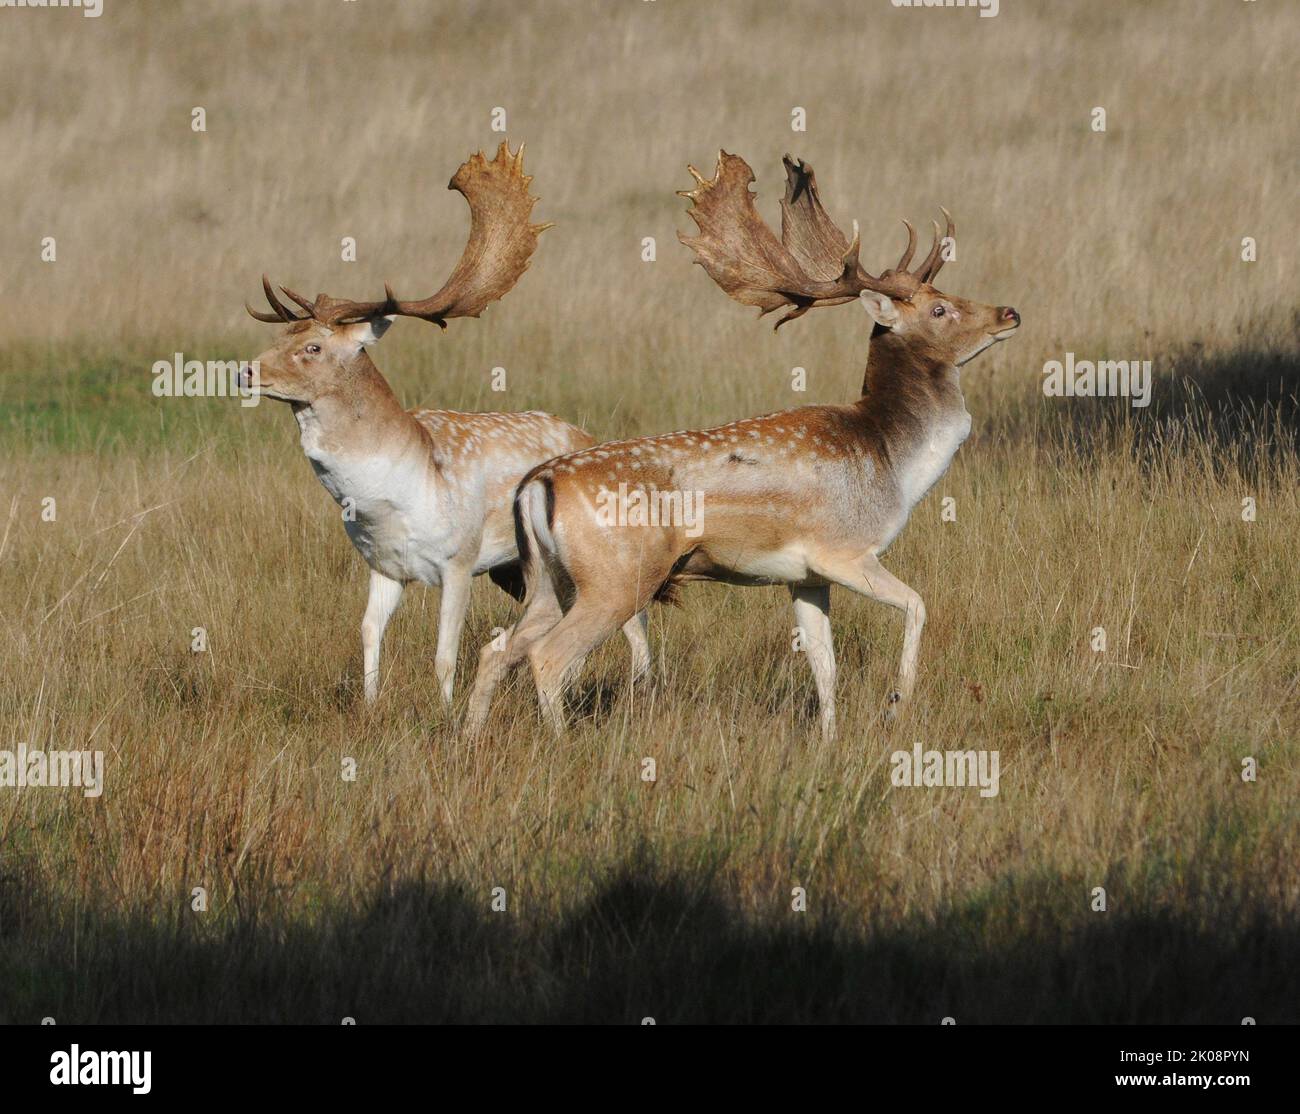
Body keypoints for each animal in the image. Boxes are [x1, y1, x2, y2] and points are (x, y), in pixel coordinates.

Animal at [243, 142, 649, 709]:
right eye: (283, 334)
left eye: (314, 347)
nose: (246, 371)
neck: (390, 496)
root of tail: (589, 438)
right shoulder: (384, 566)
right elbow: (368, 632)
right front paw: (370, 707)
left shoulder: (460, 560)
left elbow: (445, 653)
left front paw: (447, 714)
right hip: (518, 571)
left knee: (637, 624)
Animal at [464, 150, 1019, 740]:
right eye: (939, 310)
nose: (1009, 312)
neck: (891, 459)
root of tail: (535, 484)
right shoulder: (843, 549)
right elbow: (916, 604)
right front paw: (896, 702)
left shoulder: (806, 576)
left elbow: (824, 664)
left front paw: (829, 741)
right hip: (615, 579)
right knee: (549, 657)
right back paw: (562, 740)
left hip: (550, 580)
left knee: (497, 650)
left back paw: (468, 736)